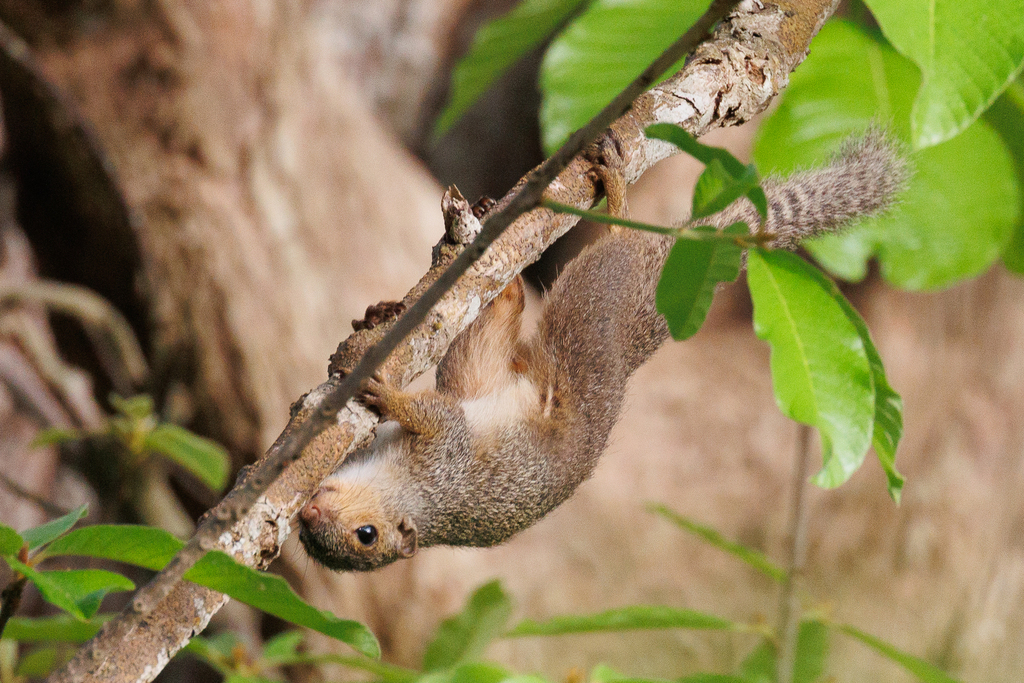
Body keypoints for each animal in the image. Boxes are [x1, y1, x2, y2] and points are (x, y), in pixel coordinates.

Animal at [298, 130, 908, 571]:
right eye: (311, 542)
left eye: (366, 536)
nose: (307, 514)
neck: (410, 494)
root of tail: (632, 340)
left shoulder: (446, 457)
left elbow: (435, 419)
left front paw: (383, 393)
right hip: (495, 359)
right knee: (499, 311)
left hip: (588, 304)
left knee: (613, 244)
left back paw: (612, 186)